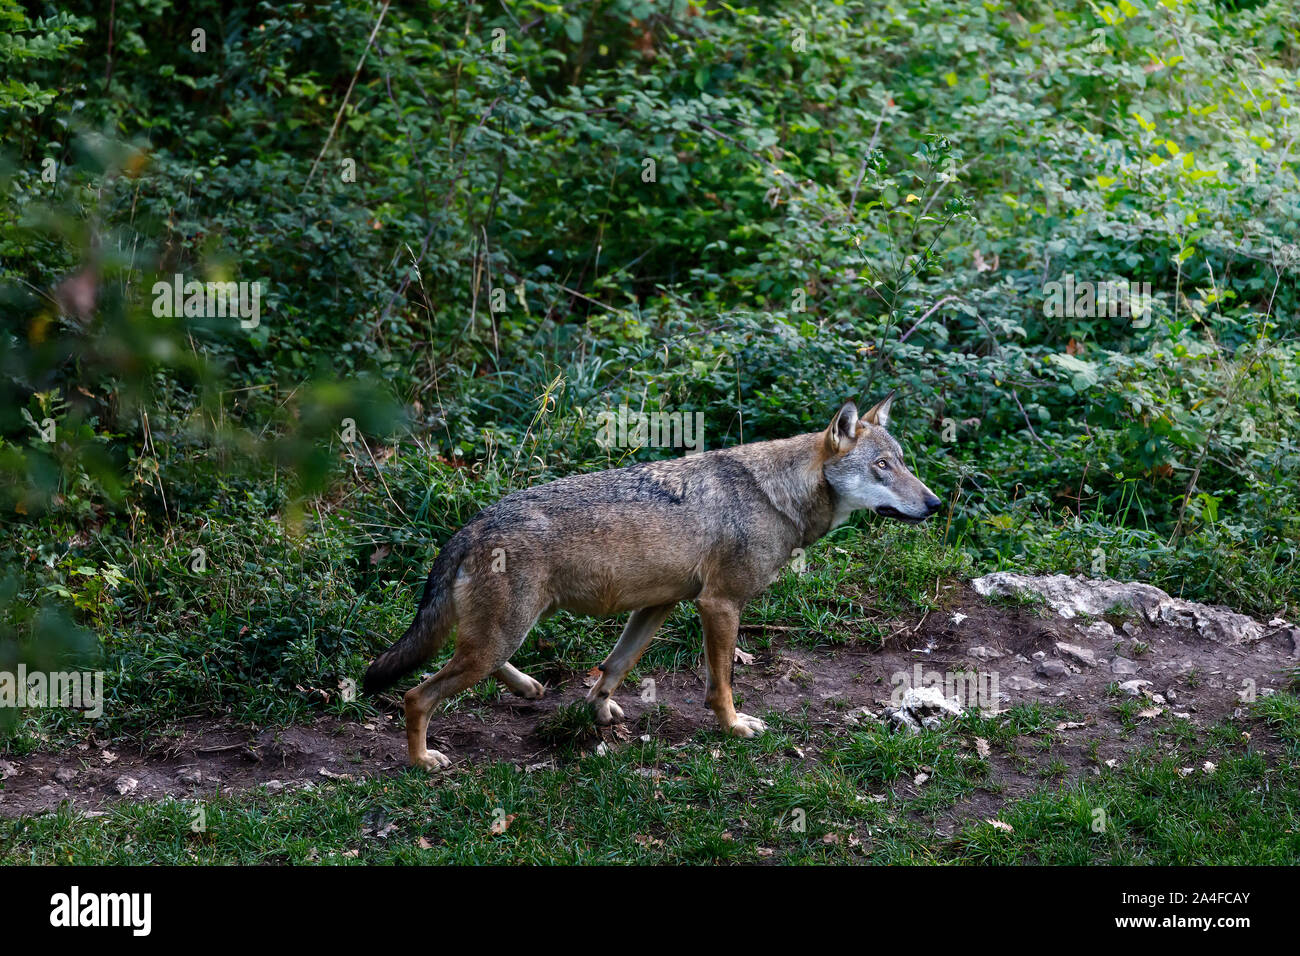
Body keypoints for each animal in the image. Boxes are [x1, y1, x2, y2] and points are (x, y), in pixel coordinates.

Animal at [364, 393, 942, 770]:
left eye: (903, 463)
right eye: (882, 466)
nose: (936, 504)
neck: (778, 495)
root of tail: (470, 526)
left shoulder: (660, 605)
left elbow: (613, 668)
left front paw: (598, 711)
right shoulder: (719, 604)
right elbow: (720, 684)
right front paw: (734, 728)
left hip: (512, 628)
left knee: (470, 663)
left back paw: (527, 686)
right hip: (504, 633)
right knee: (416, 695)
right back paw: (422, 760)